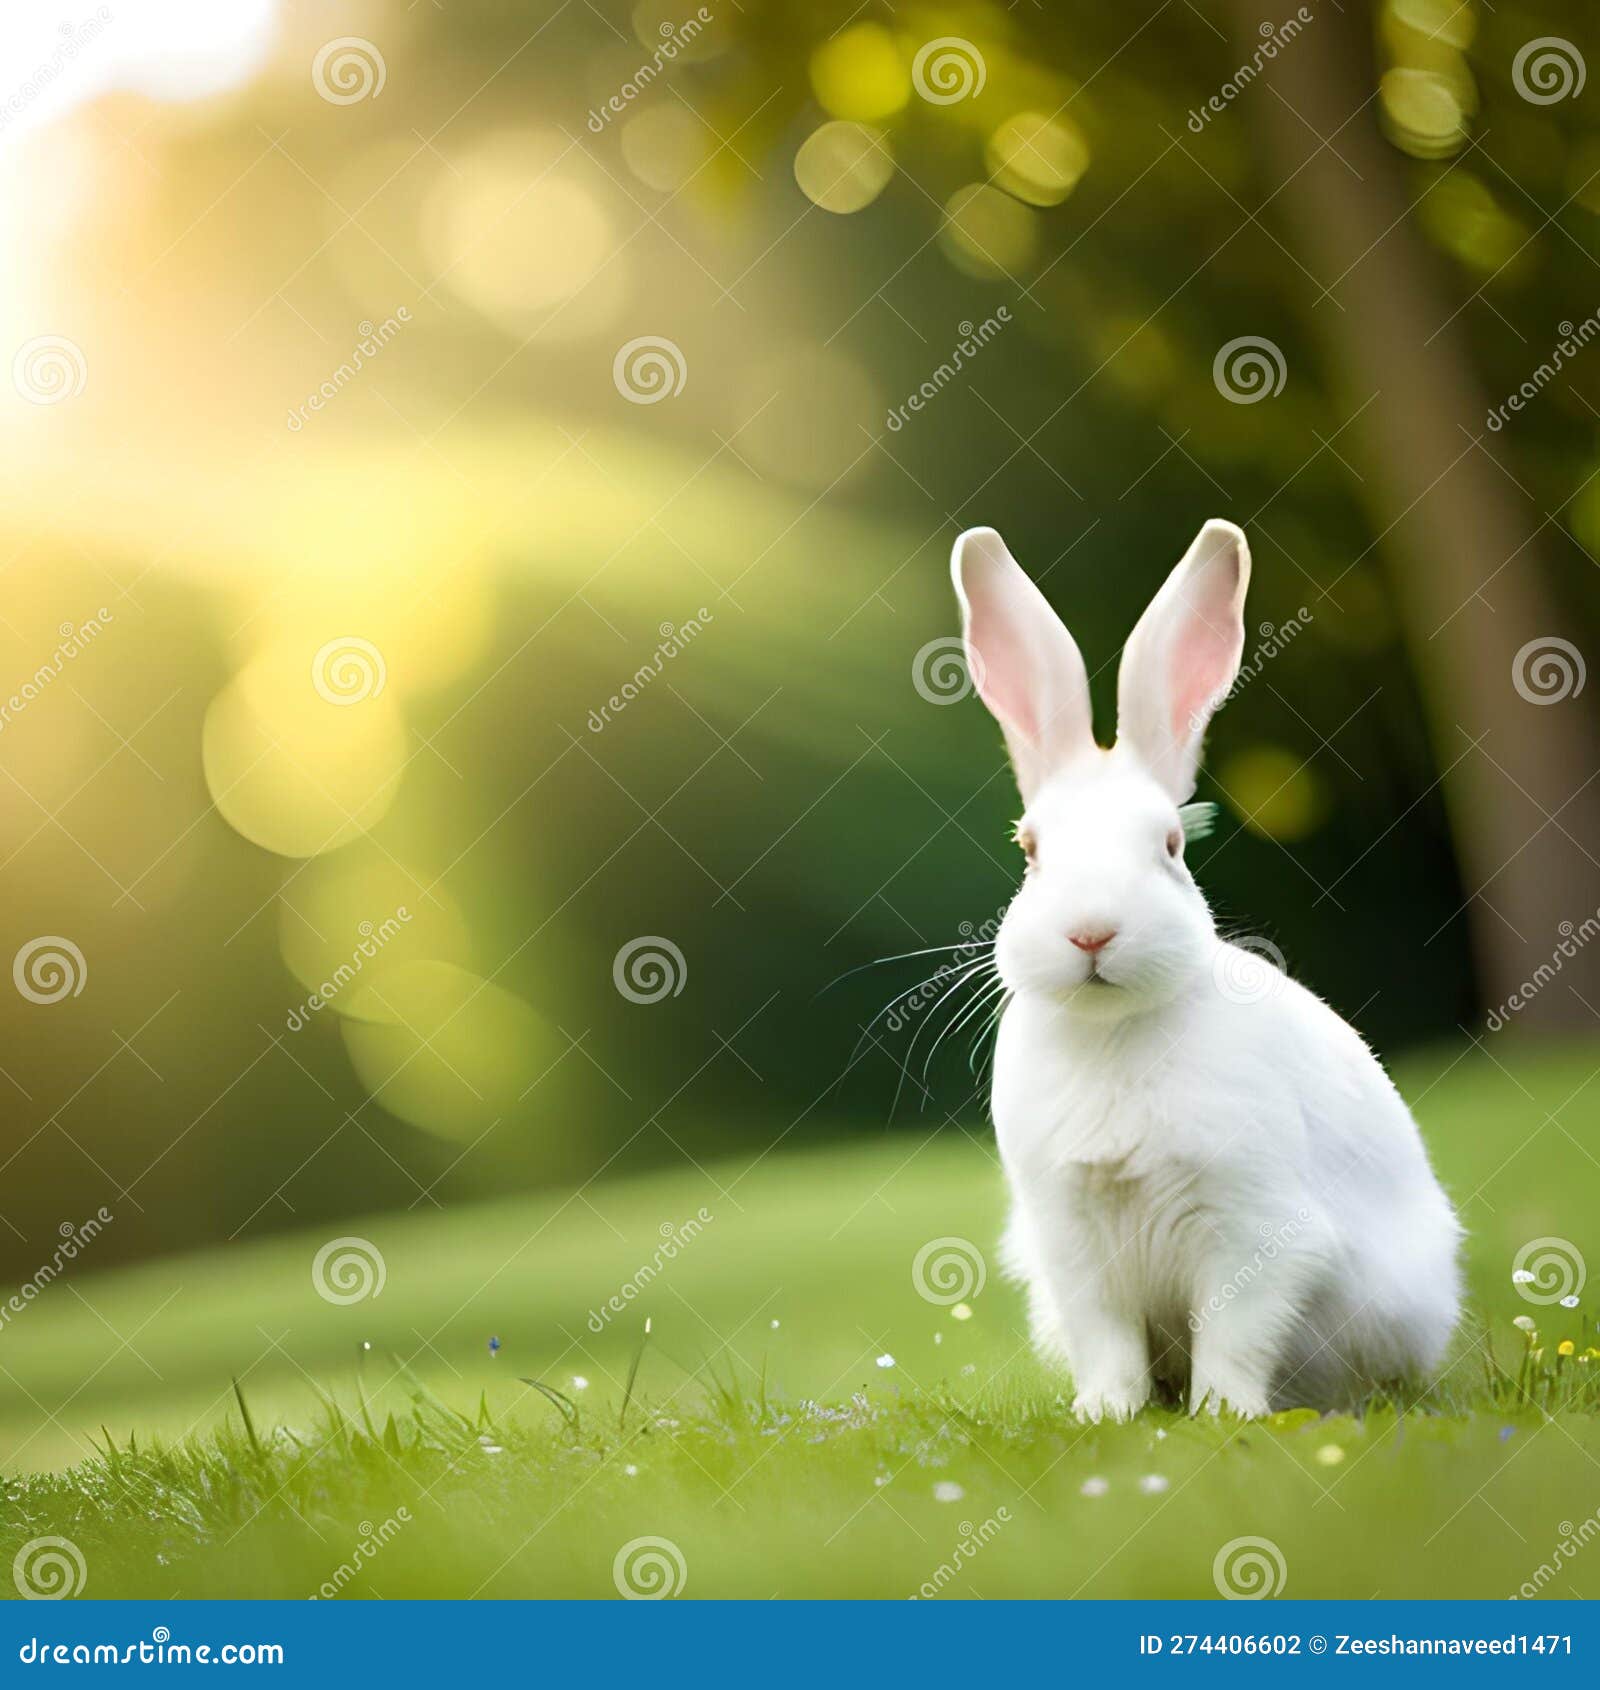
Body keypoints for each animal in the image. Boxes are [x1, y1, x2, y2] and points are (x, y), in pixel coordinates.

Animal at [950, 519, 1462, 1421]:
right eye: (1030, 849)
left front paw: (1224, 1416)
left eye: (1170, 846)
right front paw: (1107, 1415)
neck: (1113, 1032)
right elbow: (1107, 1345)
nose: (1091, 933)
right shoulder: (1072, 1242)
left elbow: (1235, 1333)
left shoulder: (1254, 1227)